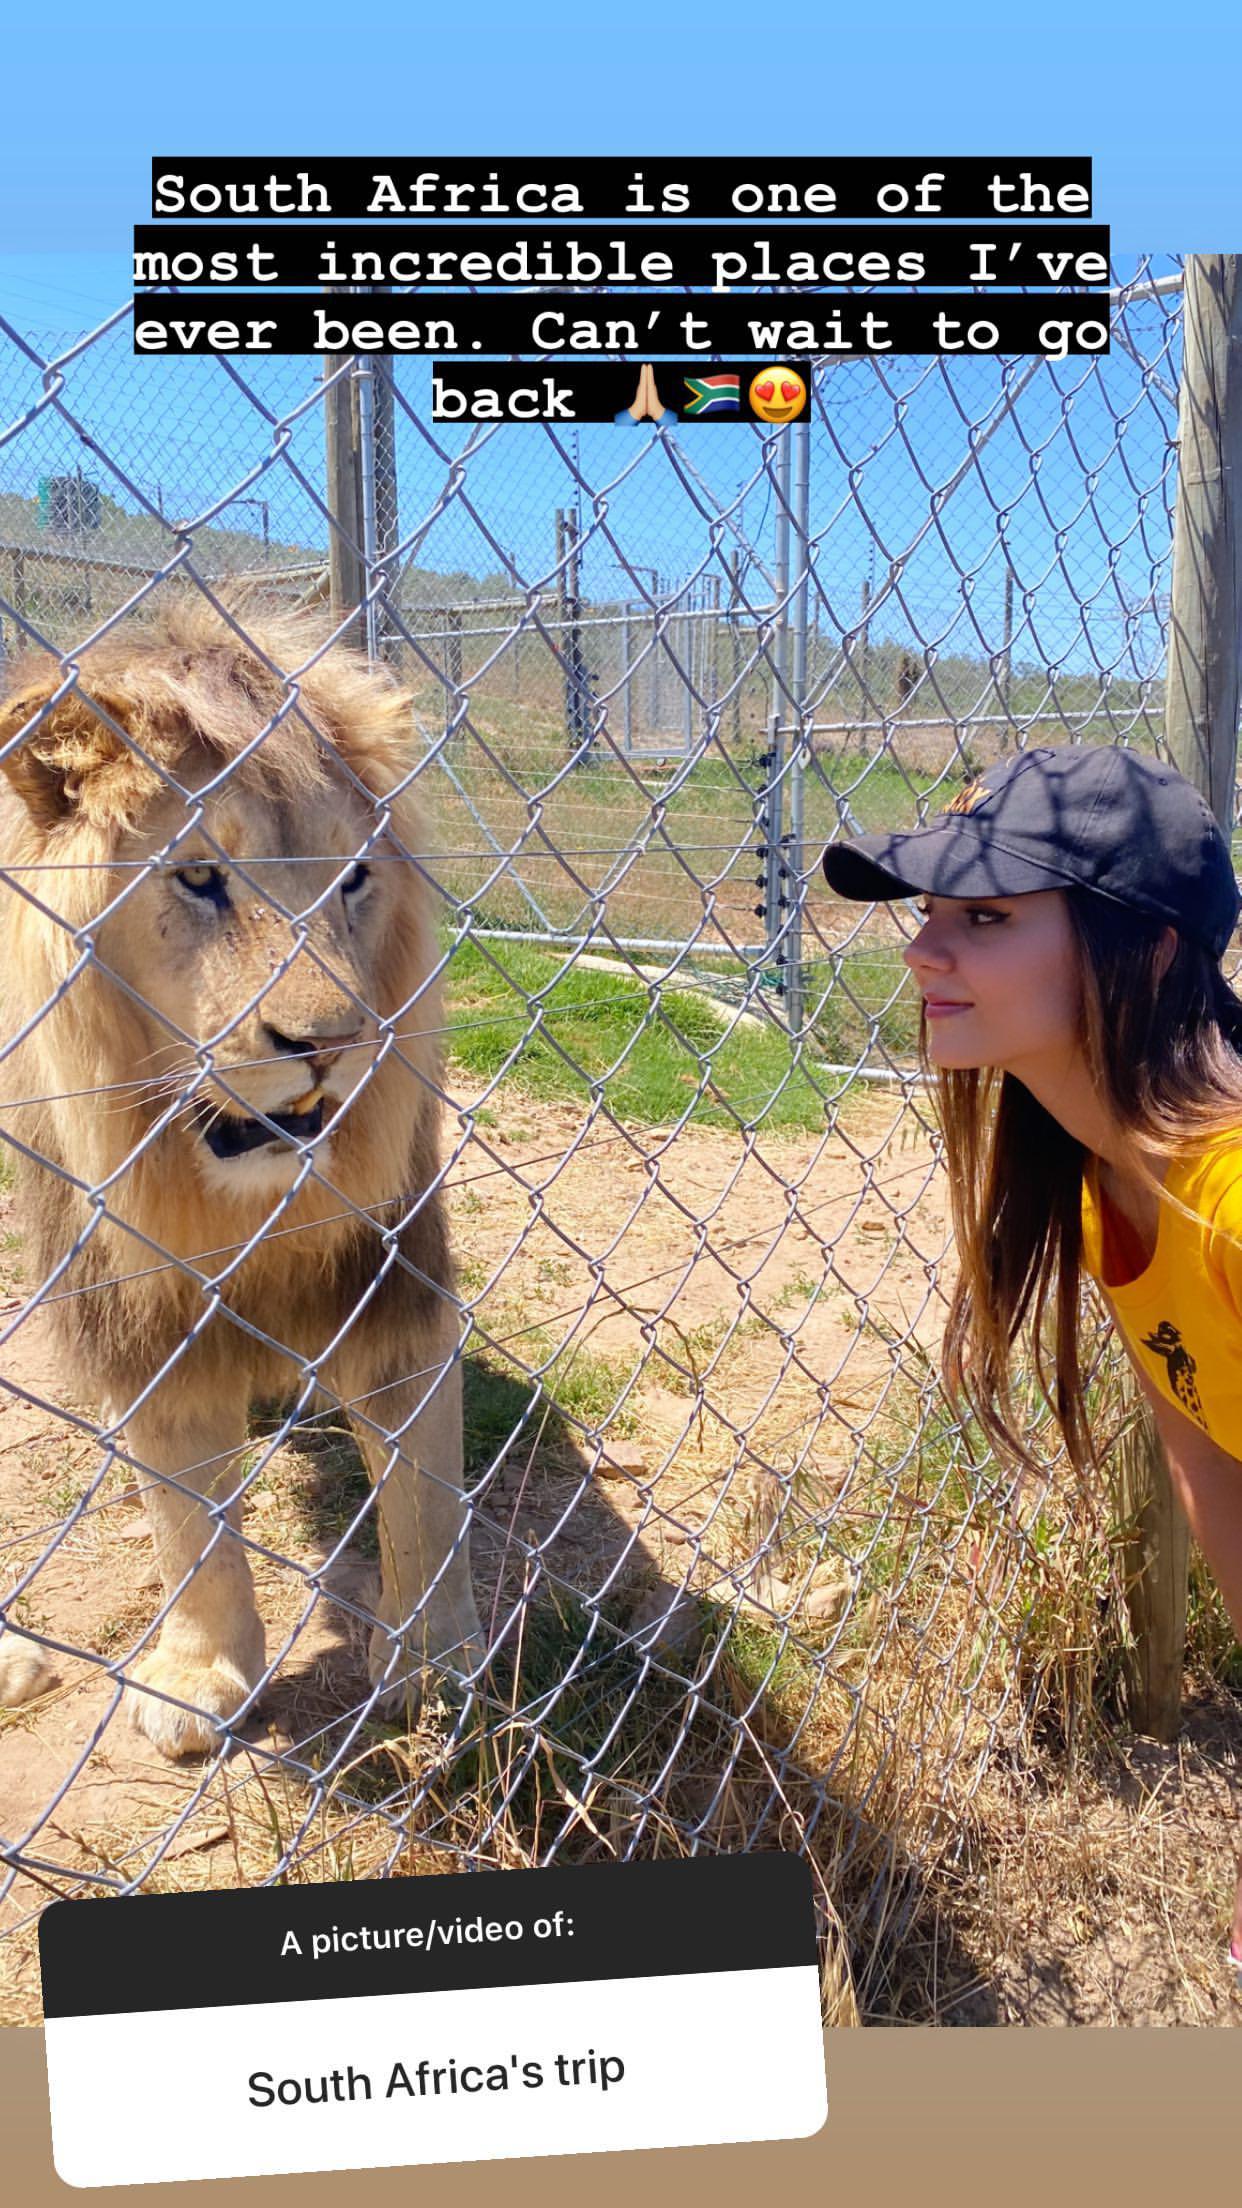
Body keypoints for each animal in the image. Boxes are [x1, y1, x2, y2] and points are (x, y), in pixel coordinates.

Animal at [0, 596, 484, 1756]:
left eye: (353, 879)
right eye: (198, 877)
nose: (332, 1044)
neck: (242, 1209)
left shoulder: (394, 1285)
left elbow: (424, 1498)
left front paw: (436, 1667)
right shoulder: (137, 1325)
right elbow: (187, 1523)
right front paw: (199, 1677)